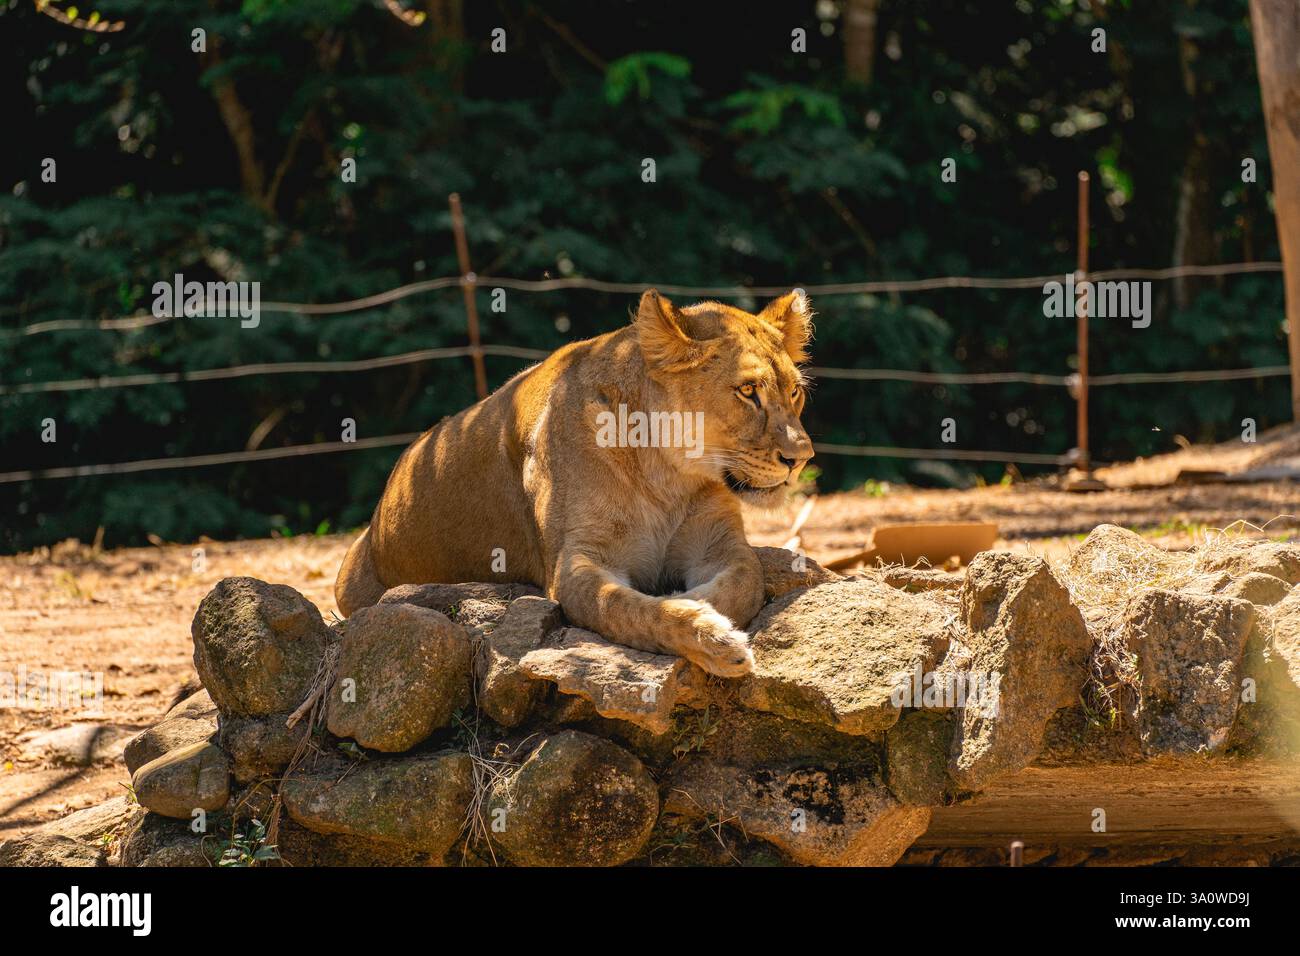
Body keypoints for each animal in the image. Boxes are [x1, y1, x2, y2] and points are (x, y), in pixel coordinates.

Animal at [334, 288, 814, 676]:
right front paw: (710, 635)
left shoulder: (720, 542)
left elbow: (743, 583)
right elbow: (624, 607)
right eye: (748, 391)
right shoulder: (575, 562)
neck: (667, 478)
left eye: (794, 391)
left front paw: (701, 608)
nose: (801, 458)